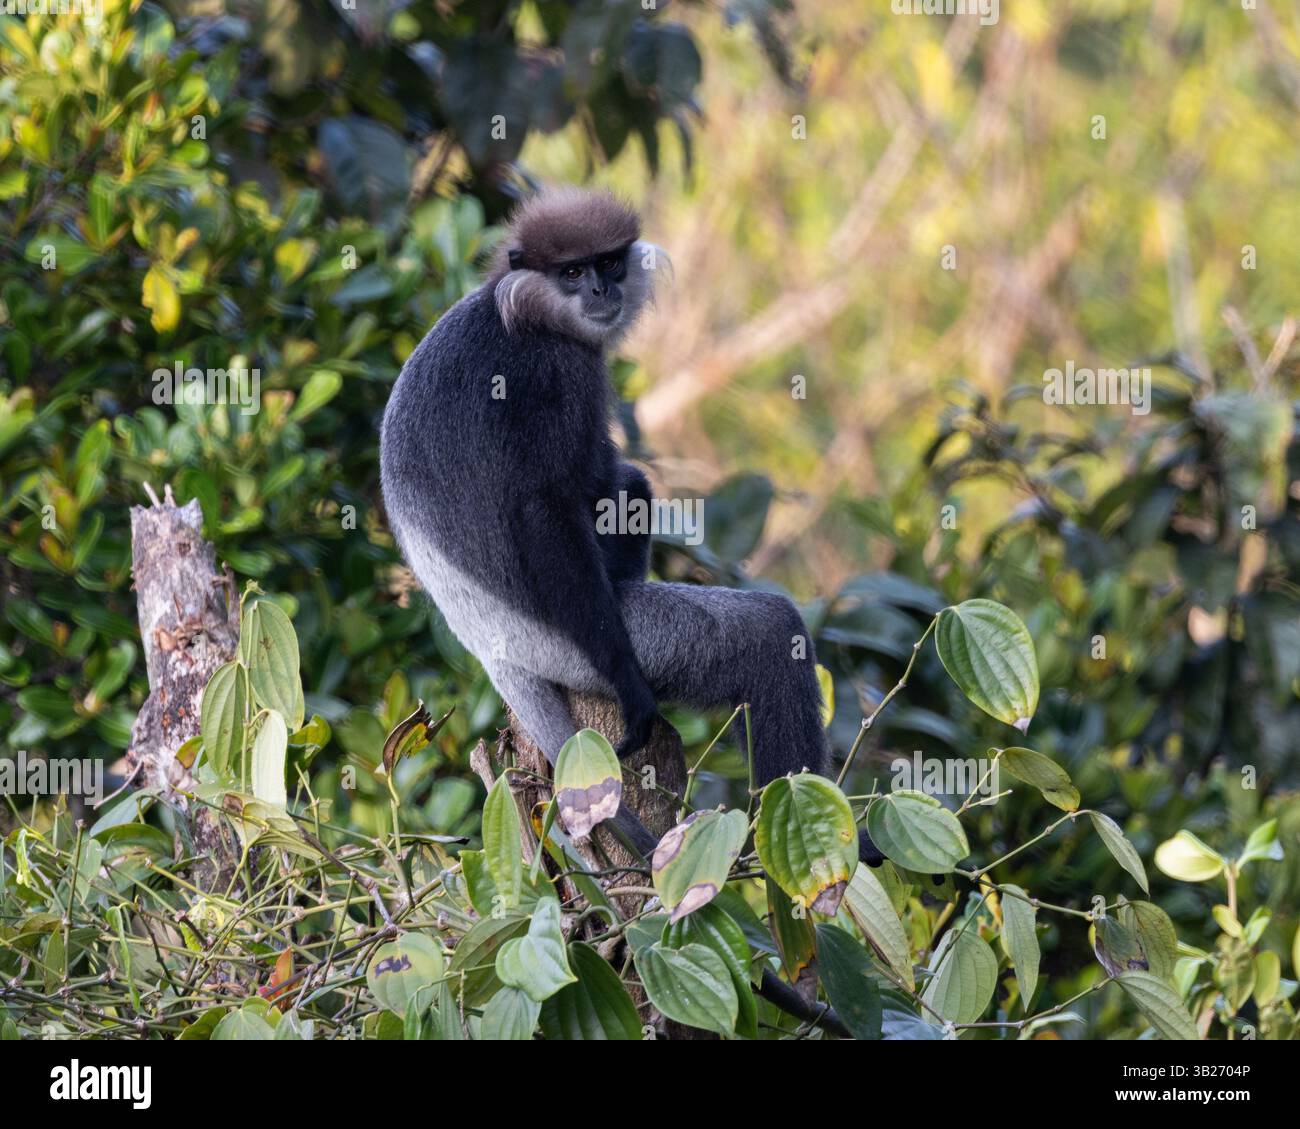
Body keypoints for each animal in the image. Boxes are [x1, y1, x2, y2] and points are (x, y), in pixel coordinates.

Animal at [380, 187, 882, 867]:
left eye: (609, 263)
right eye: (571, 272)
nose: (599, 289)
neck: (521, 314)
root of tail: (489, 646)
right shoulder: (558, 372)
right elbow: (547, 511)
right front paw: (632, 688)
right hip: (592, 649)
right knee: (766, 633)